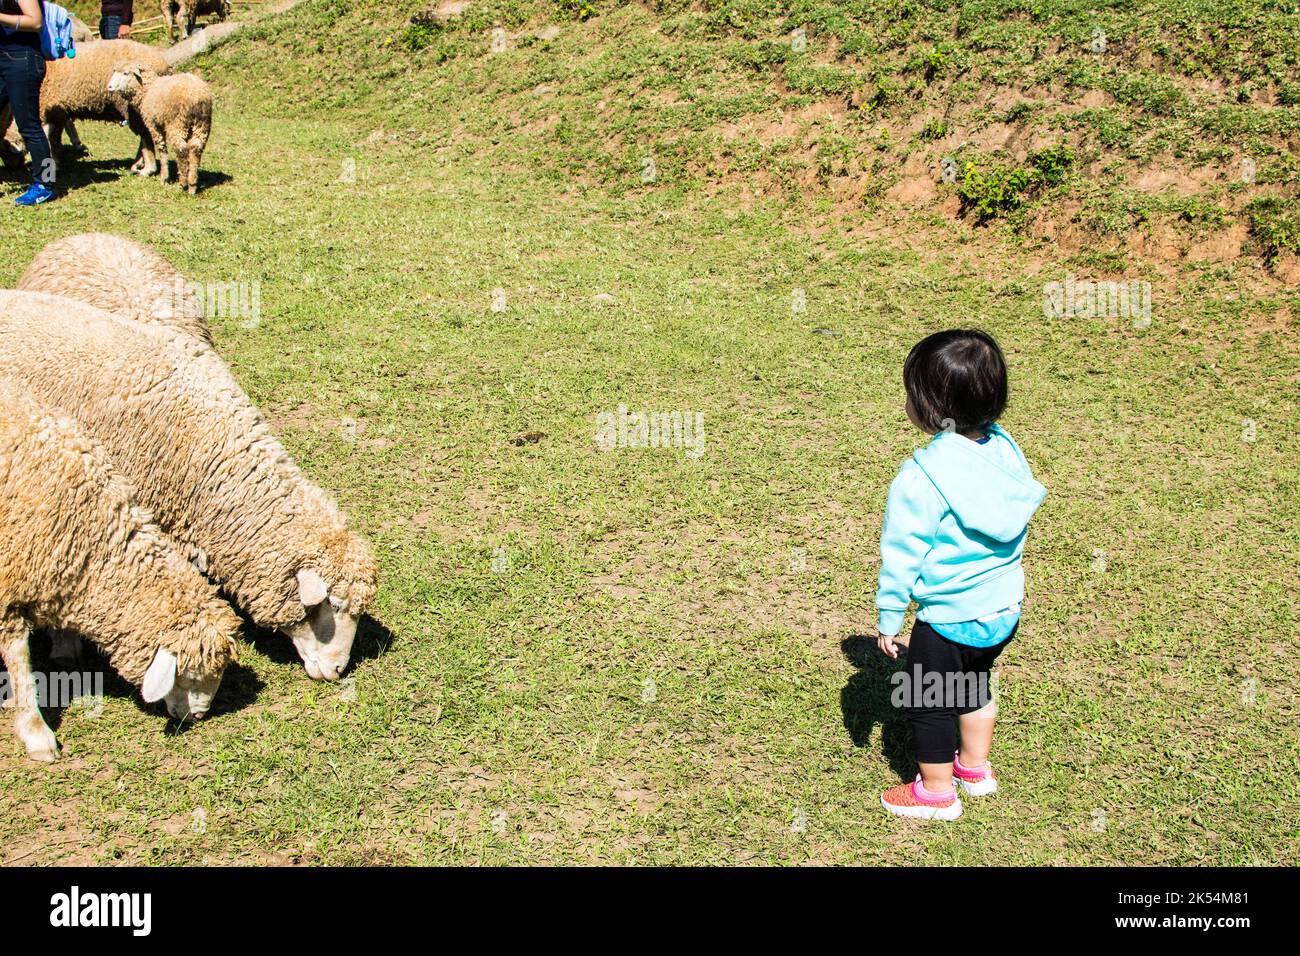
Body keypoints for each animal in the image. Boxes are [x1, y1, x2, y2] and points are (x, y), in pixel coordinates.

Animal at [107, 66, 212, 194]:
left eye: (126, 73)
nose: (109, 87)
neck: (147, 89)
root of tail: (197, 96)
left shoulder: (154, 125)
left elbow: (162, 149)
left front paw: (164, 178)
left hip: (177, 123)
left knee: (181, 150)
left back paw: (183, 184)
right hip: (202, 125)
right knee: (196, 149)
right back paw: (192, 185)